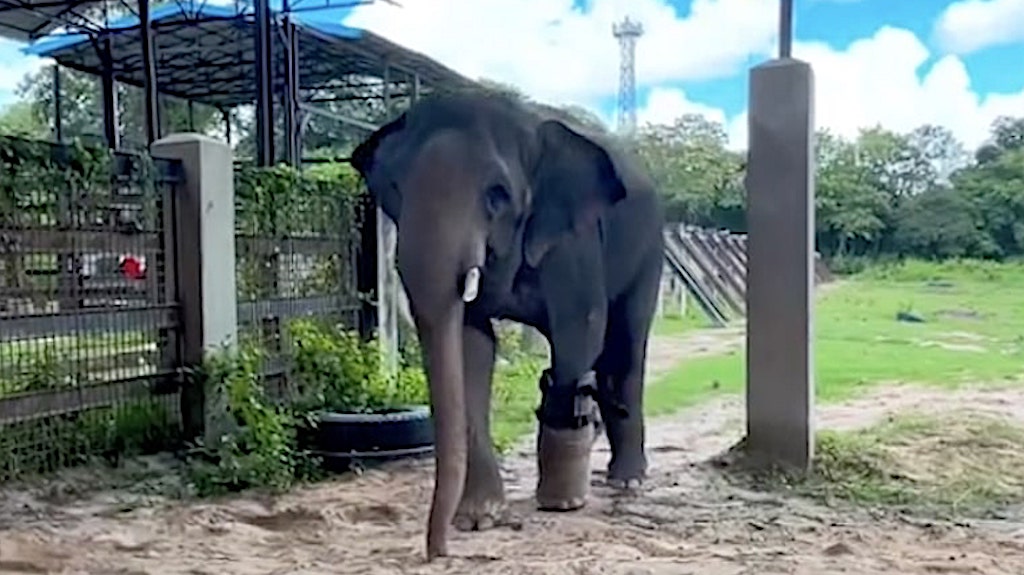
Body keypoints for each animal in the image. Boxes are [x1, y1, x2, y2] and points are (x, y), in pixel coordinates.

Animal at [350, 91, 665, 560]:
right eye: (397, 188)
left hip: (650, 250)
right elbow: (471, 345)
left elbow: (581, 326)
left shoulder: (573, 238)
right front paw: (478, 519)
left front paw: (562, 501)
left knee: (625, 342)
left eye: (497, 195)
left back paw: (627, 479)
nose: (438, 551)